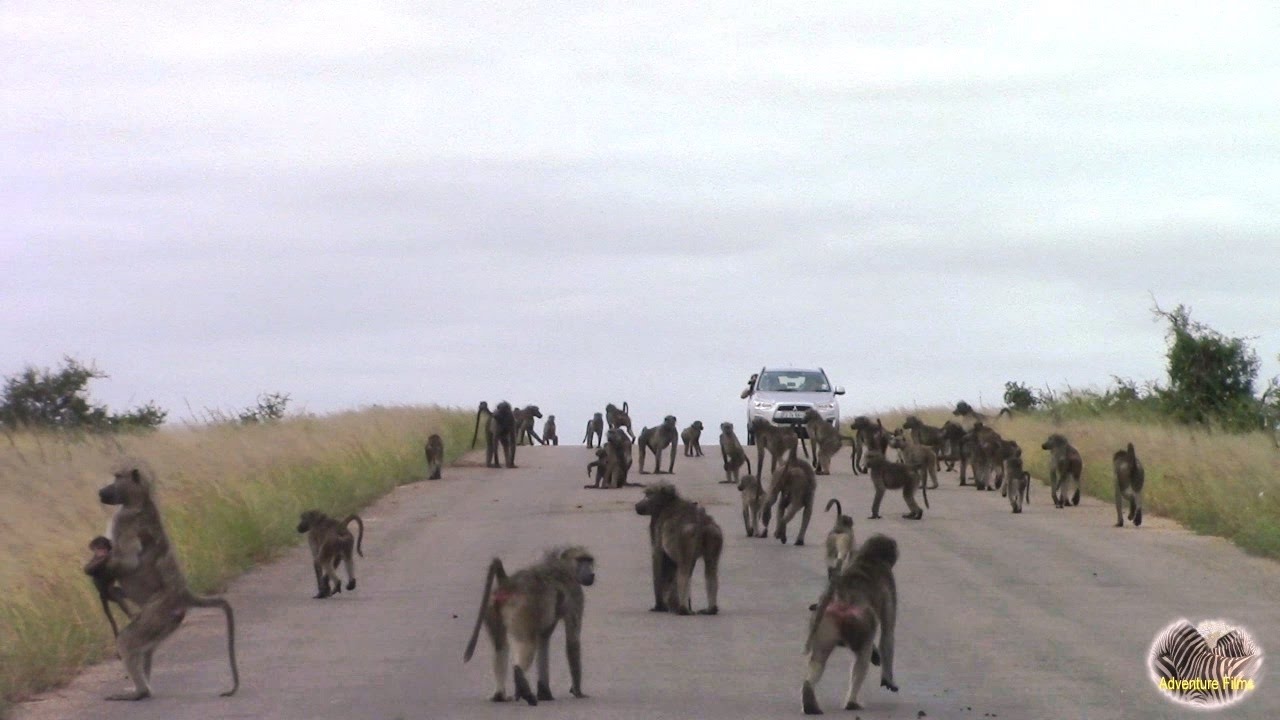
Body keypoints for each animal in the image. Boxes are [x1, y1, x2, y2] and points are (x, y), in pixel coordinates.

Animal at [95, 462, 239, 700]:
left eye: (116, 477)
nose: (101, 491)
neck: (141, 500)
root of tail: (183, 593)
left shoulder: (123, 521)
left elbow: (128, 562)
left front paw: (100, 571)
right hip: (166, 622)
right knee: (146, 647)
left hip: (159, 611)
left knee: (127, 640)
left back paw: (139, 692)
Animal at [463, 546, 595, 705]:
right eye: (581, 560)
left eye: (589, 561)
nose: (592, 574)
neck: (563, 567)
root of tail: (507, 583)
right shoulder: (575, 593)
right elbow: (572, 642)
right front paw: (578, 692)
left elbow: (544, 639)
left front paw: (544, 693)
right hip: (523, 611)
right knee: (528, 645)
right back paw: (522, 685)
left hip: (491, 608)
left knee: (500, 646)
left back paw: (500, 695)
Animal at [634, 483, 722, 615]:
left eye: (648, 495)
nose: (637, 505)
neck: (666, 502)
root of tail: (701, 520)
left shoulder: (657, 525)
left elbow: (658, 560)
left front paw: (659, 606)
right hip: (714, 534)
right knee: (710, 570)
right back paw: (710, 609)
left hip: (686, 536)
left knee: (684, 570)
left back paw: (683, 609)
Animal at [802, 533, 900, 714]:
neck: (868, 558)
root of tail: (842, 598)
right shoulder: (889, 582)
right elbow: (888, 633)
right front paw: (888, 679)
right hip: (860, 623)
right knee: (862, 655)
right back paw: (851, 703)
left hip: (826, 622)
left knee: (818, 660)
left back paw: (809, 698)